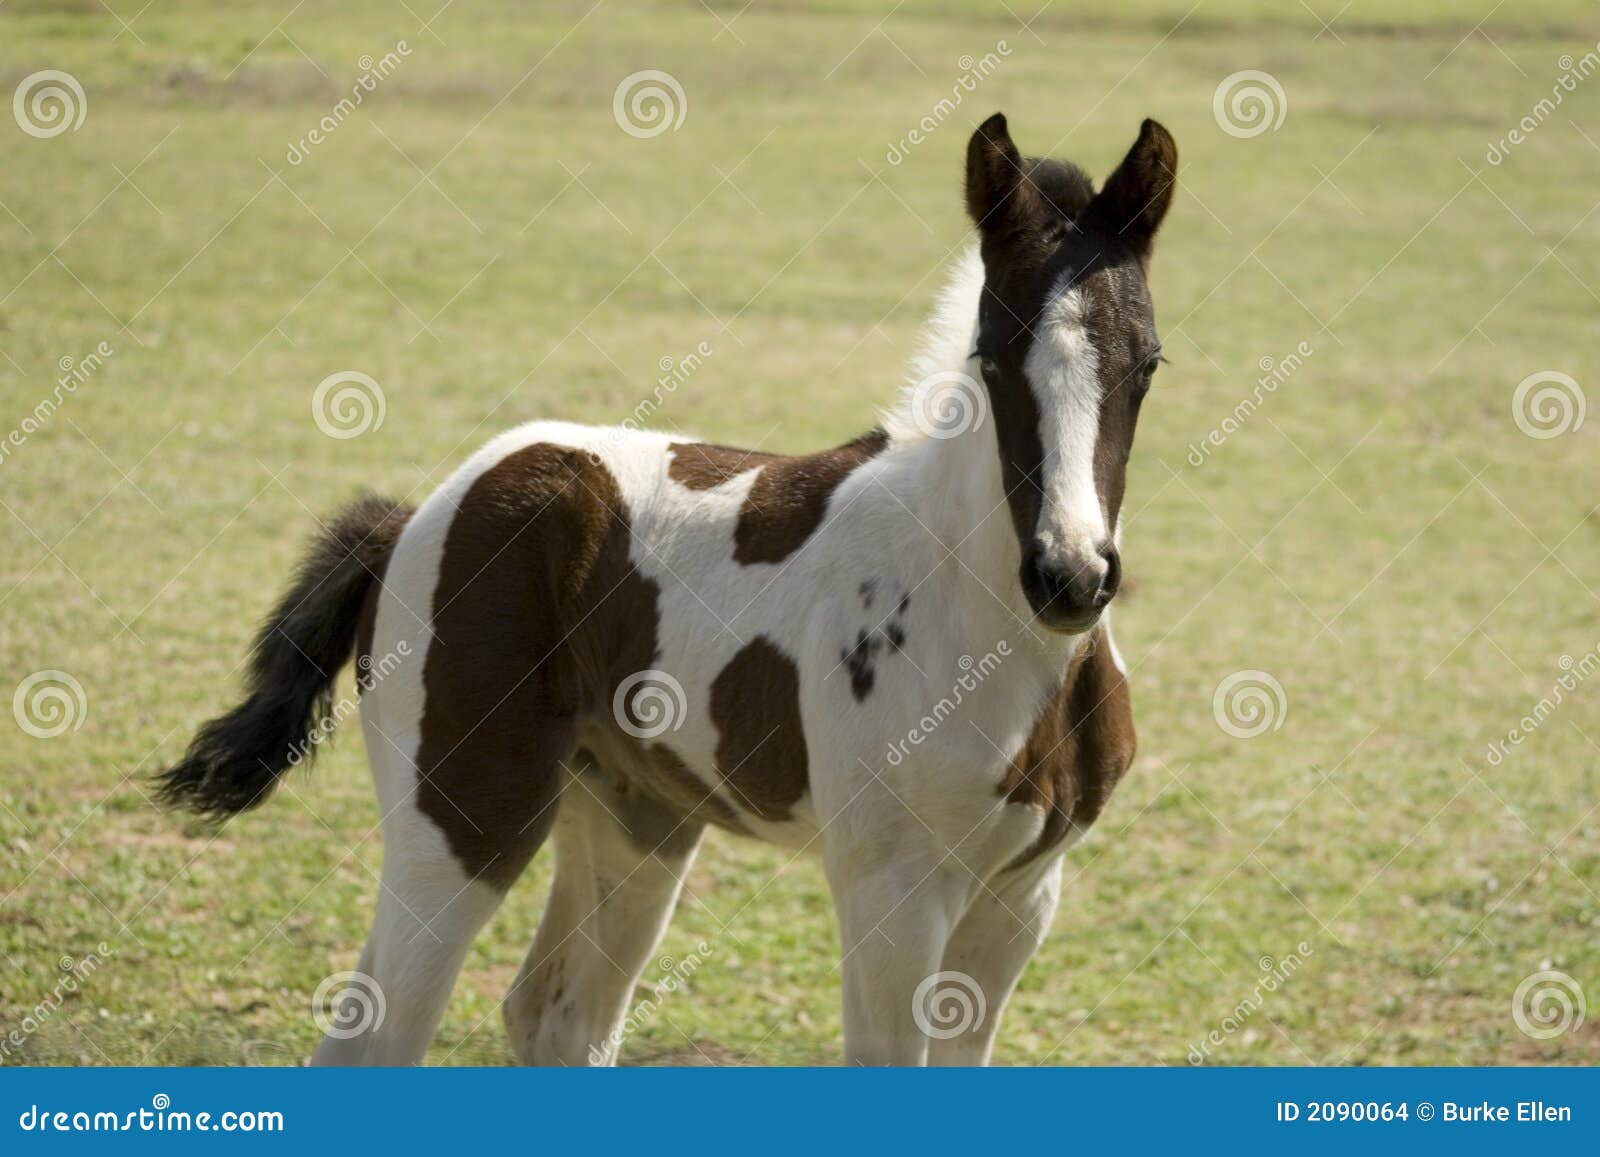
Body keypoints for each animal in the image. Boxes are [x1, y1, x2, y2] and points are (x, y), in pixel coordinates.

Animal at [156, 112, 1177, 1066]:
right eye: (994, 358)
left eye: (1148, 362)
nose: (1070, 575)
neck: (976, 612)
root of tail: (414, 518)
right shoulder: (891, 887)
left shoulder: (1022, 892)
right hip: (460, 814)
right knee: (374, 1031)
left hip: (632, 815)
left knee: (555, 1013)